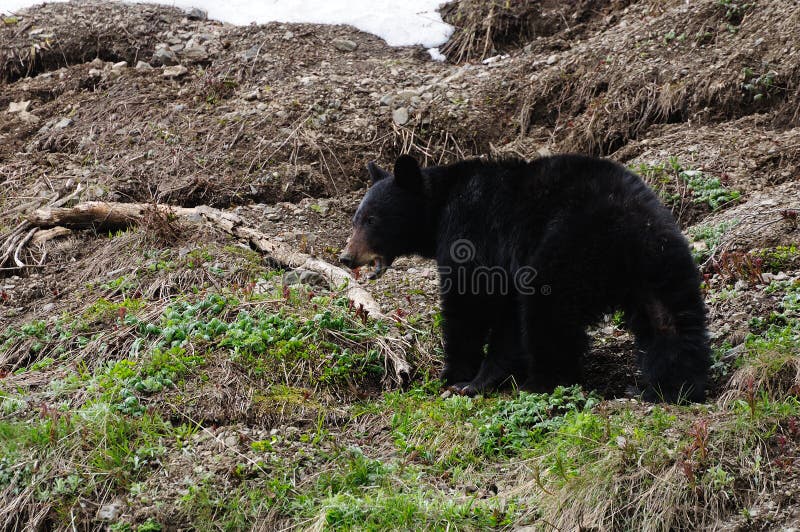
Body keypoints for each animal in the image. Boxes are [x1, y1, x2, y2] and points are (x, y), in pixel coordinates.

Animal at [339, 154, 710, 403]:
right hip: (661, 257)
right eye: (355, 219)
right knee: (671, 318)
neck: (439, 208)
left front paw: (459, 377)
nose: (346, 257)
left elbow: (470, 302)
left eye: (371, 219)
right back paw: (673, 385)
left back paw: (543, 382)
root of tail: (625, 231)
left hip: (569, 249)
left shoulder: (472, 232)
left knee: (547, 312)